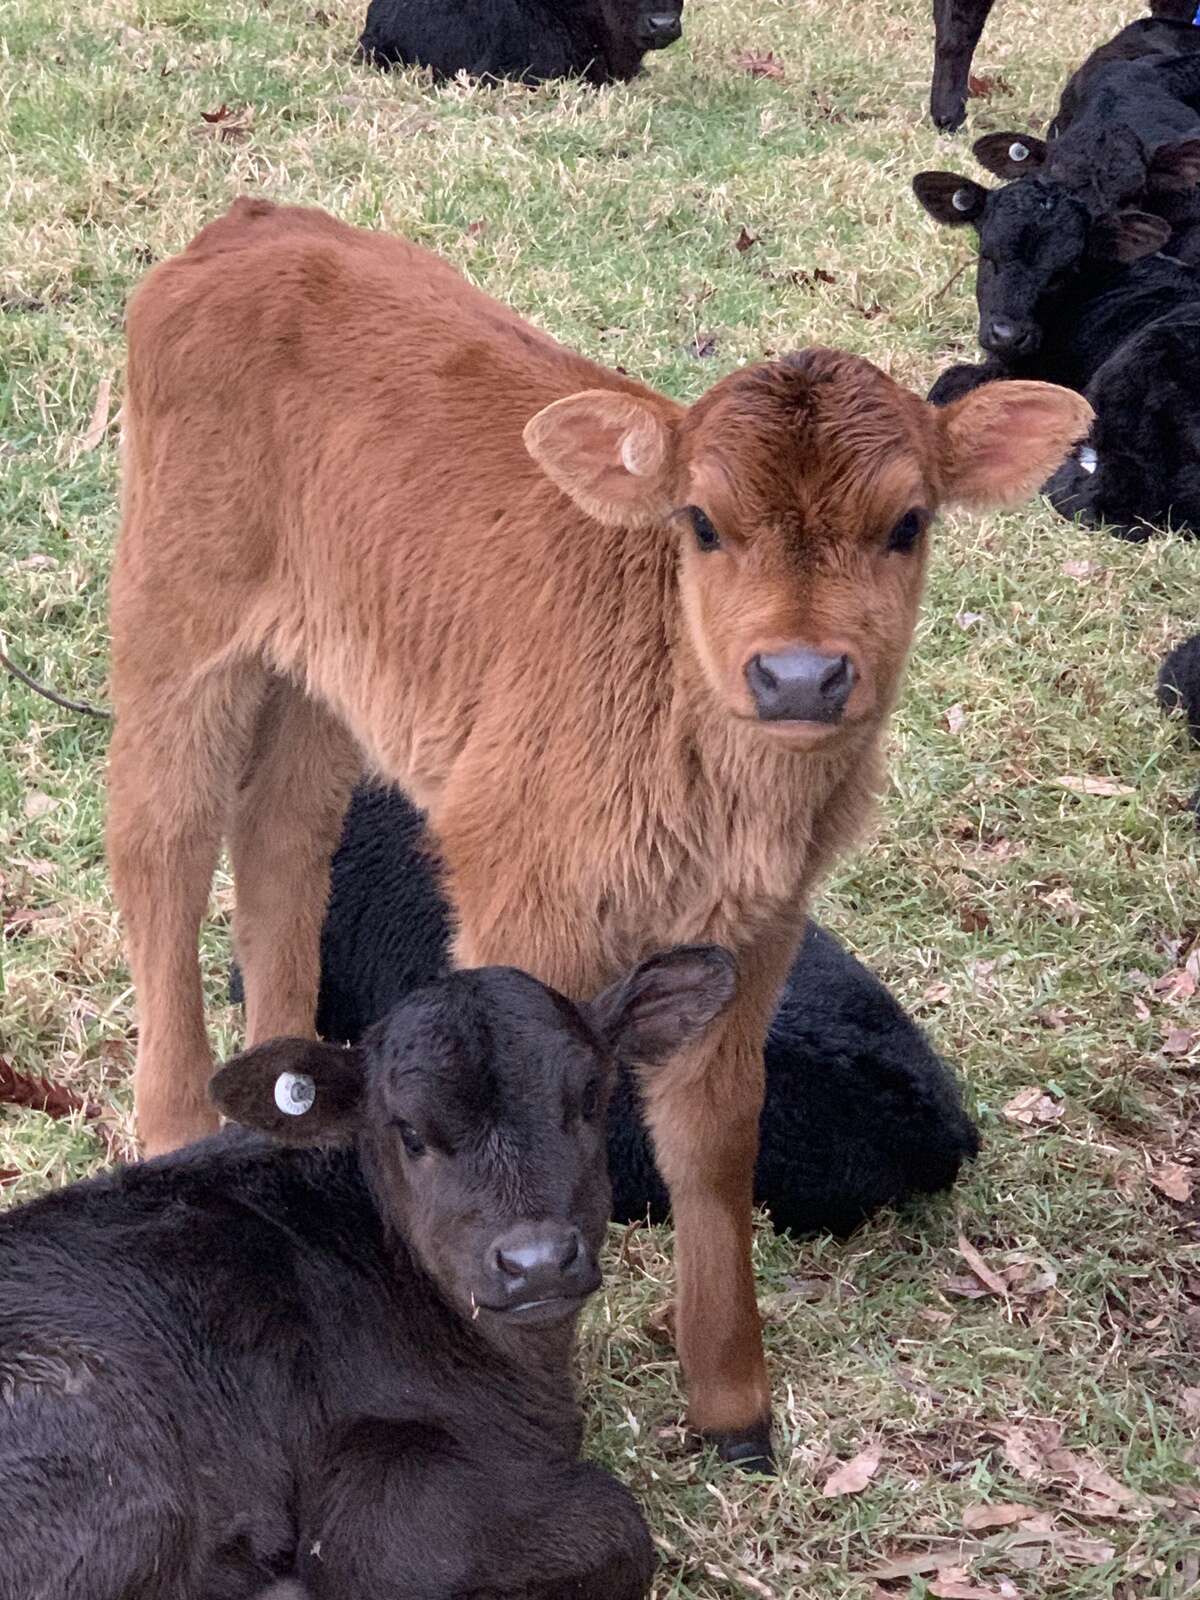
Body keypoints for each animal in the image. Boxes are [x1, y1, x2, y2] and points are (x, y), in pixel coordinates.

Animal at [106, 196, 1089, 1466]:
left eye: (908, 522)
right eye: (703, 523)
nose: (801, 675)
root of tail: (252, 226)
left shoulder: (758, 928)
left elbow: (715, 1137)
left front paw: (732, 1404)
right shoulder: (520, 893)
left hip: (322, 679)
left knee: (282, 842)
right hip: (176, 620)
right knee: (161, 843)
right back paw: (172, 1124)